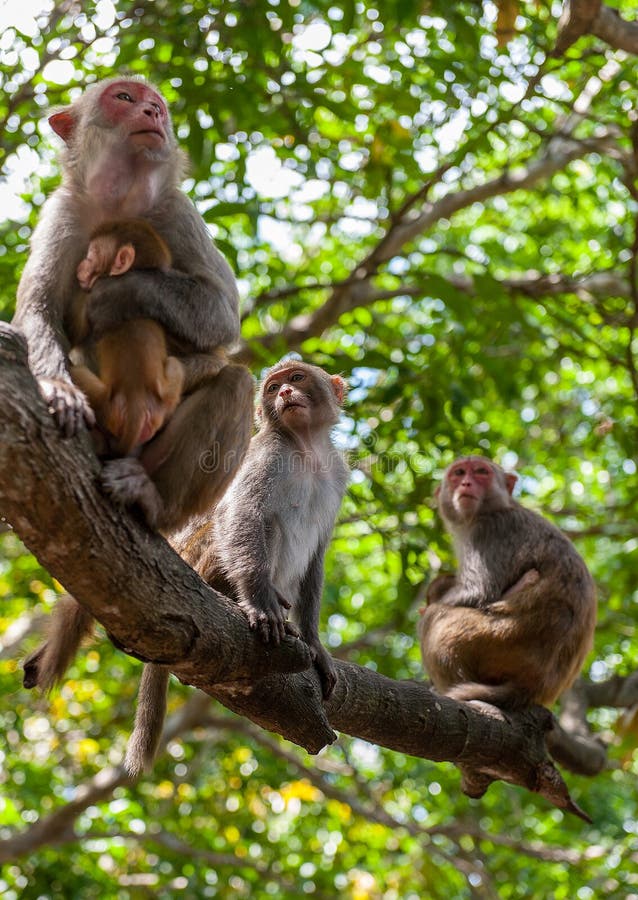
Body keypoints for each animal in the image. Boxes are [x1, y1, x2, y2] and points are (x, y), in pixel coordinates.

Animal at [70, 218, 228, 456]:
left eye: (92, 254)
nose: (81, 265)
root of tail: (135, 401)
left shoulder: (91, 295)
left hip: (104, 402)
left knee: (77, 372)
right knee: (175, 366)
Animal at [124, 358, 349, 775]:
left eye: (296, 378)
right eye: (273, 387)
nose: (284, 393)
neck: (305, 448)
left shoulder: (338, 475)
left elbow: (317, 557)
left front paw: (314, 643)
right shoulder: (267, 454)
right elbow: (242, 512)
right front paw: (260, 604)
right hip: (203, 561)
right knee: (262, 525)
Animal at [418, 455, 597, 710]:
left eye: (481, 472)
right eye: (459, 473)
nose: (466, 484)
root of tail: (537, 687)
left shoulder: (489, 531)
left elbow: (477, 591)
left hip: (501, 639)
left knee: (436, 619)